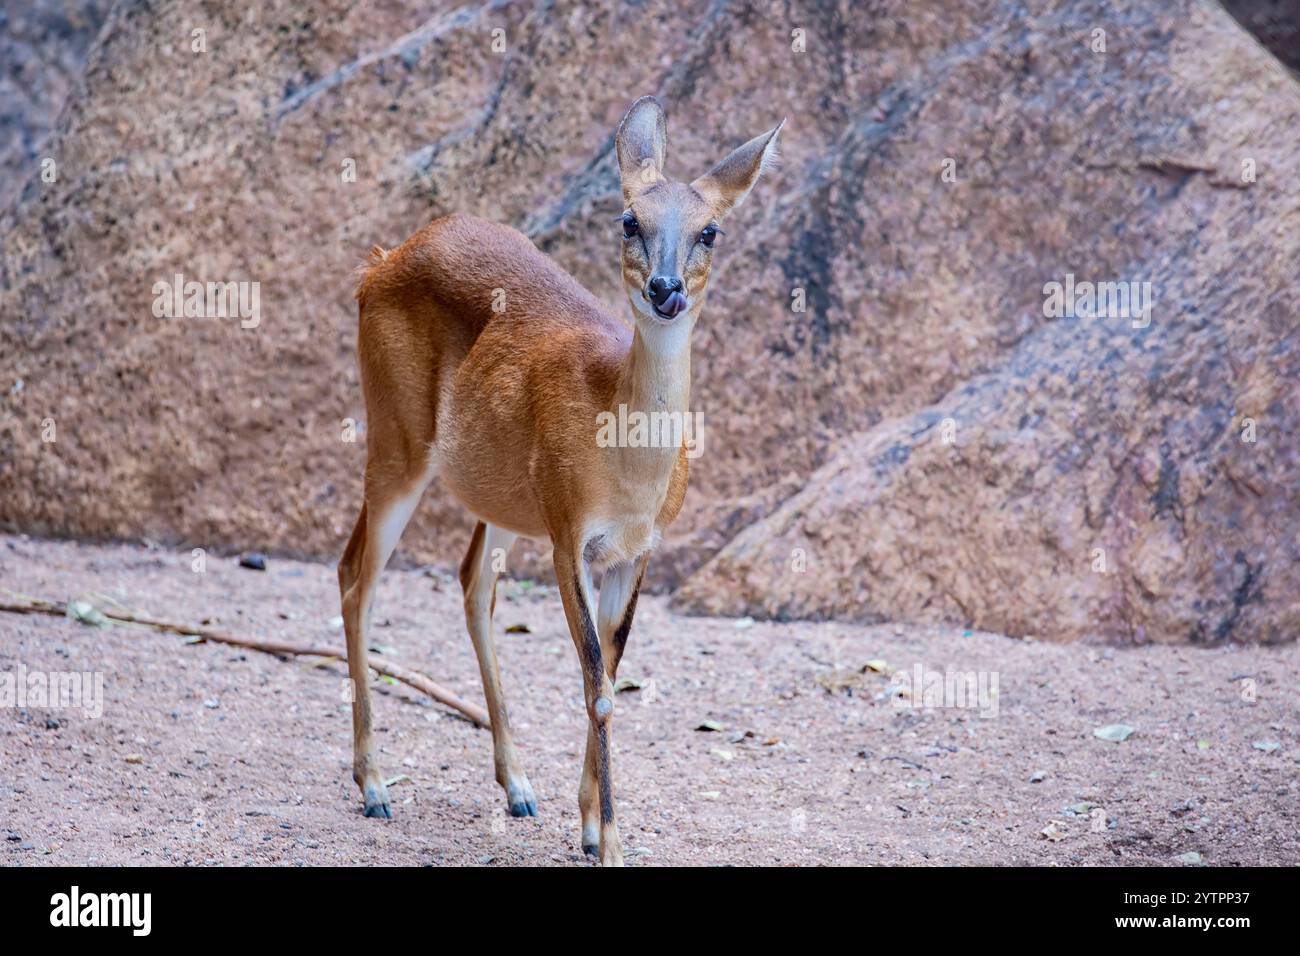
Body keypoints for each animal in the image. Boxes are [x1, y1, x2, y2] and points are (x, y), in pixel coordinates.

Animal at [338, 96, 782, 865]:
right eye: (630, 220)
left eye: (710, 231)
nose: (665, 290)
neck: (625, 465)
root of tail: (377, 265)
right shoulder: (569, 532)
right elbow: (596, 683)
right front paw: (611, 844)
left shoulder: (636, 549)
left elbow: (611, 673)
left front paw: (586, 824)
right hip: (396, 439)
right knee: (359, 578)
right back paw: (374, 787)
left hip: (499, 496)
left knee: (468, 582)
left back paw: (517, 787)